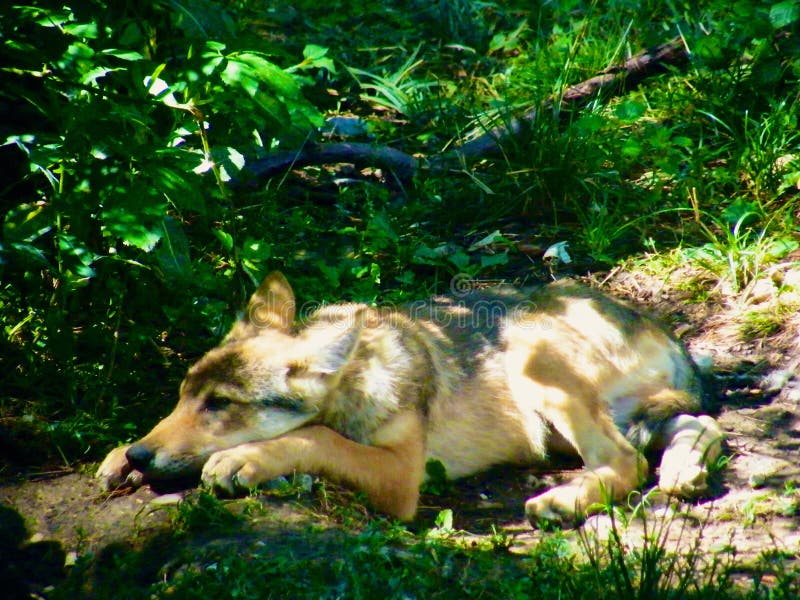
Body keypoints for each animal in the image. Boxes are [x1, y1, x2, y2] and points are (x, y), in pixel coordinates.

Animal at [97, 272, 723, 523]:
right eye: (183, 396)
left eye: (220, 405)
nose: (141, 458)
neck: (360, 378)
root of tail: (659, 325)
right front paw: (117, 454)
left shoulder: (401, 477)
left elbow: (314, 435)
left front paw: (243, 459)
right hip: (583, 419)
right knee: (699, 426)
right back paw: (684, 474)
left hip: (531, 352)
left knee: (627, 460)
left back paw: (565, 500)